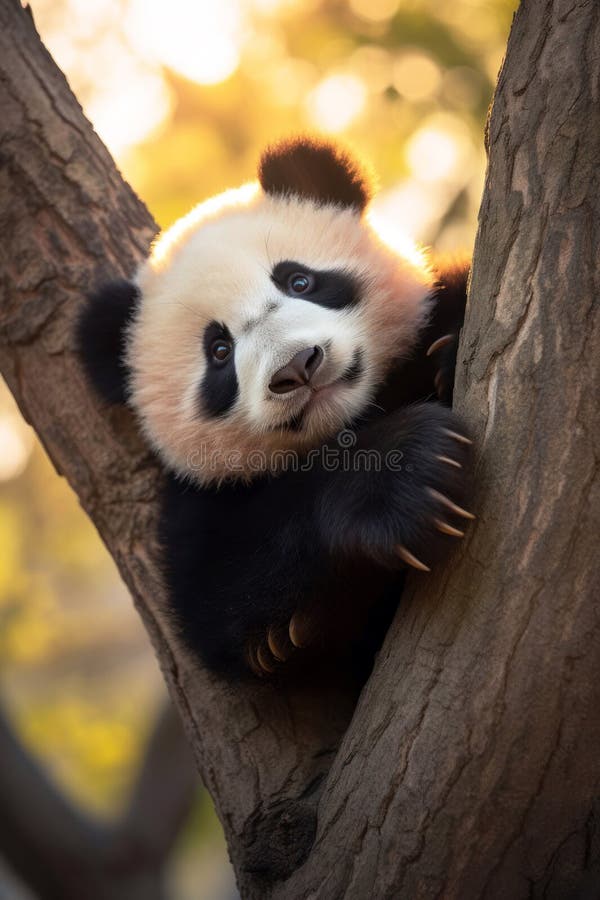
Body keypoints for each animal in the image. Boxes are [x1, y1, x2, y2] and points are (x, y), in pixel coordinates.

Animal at [77, 136, 473, 680]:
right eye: (219, 351)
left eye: (299, 281)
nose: (298, 366)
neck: (351, 420)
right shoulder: (198, 501)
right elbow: (218, 583)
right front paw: (407, 476)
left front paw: (448, 354)